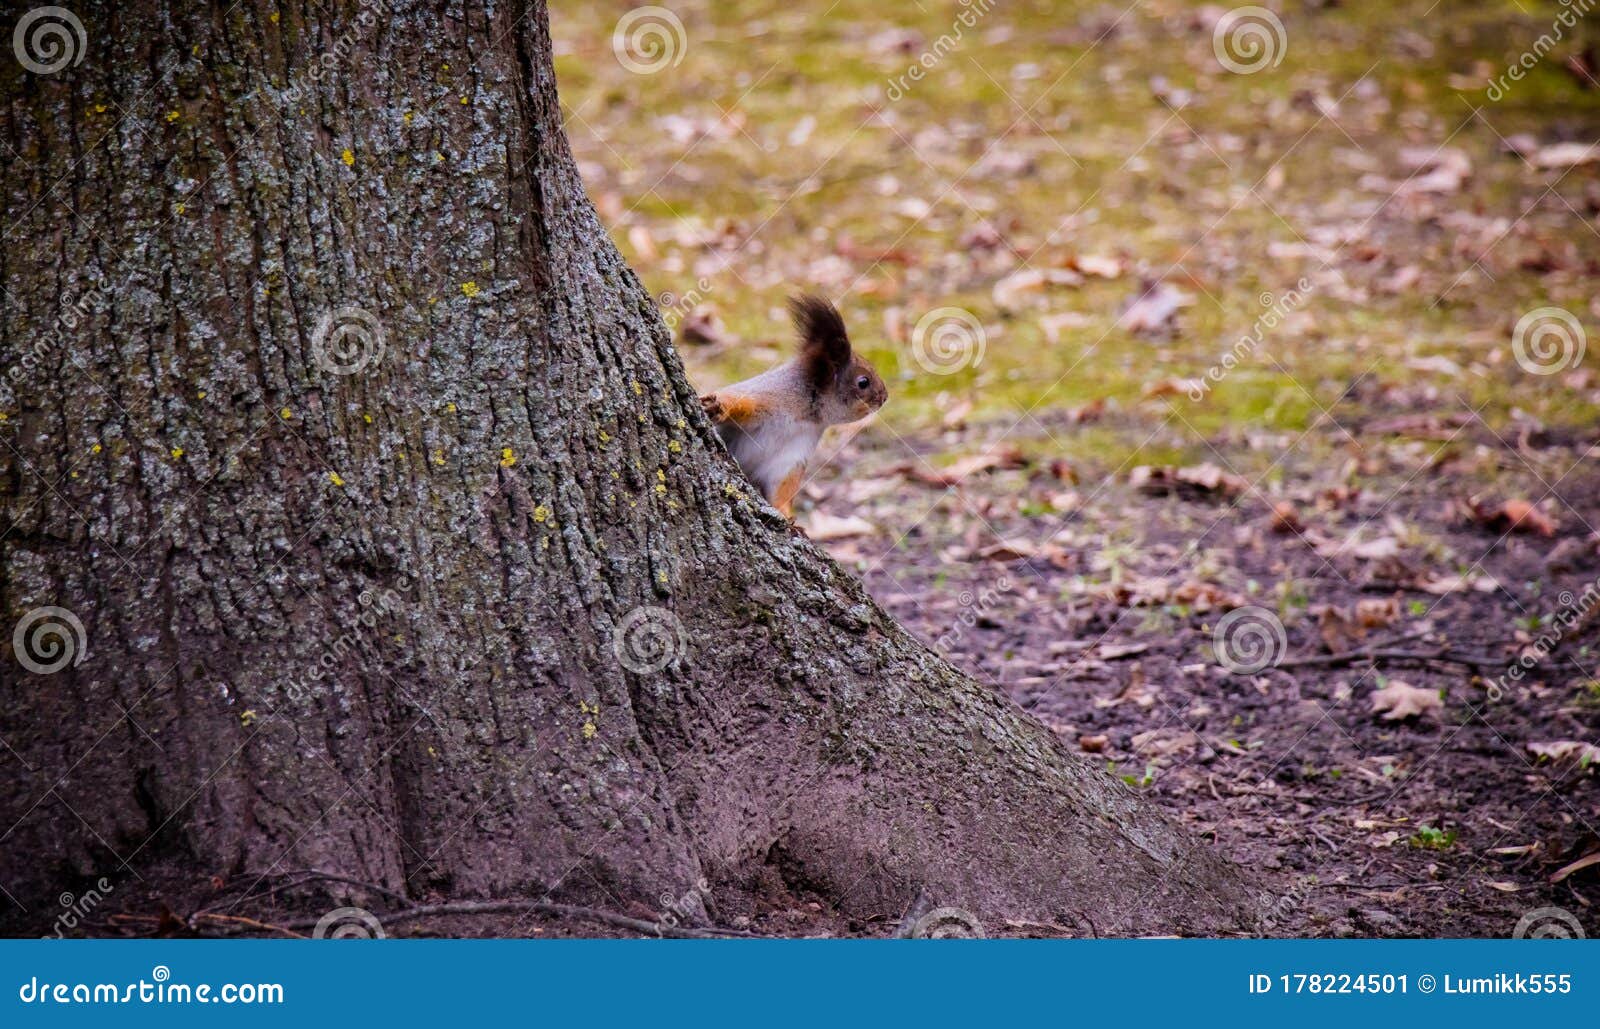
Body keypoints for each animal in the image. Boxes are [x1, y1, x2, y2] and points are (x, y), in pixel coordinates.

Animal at [700, 295, 888, 518]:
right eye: (863, 382)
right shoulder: (766, 397)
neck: (805, 416)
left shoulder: (793, 455)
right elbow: (741, 403)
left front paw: (787, 515)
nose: (884, 397)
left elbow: (783, 487)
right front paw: (719, 406)